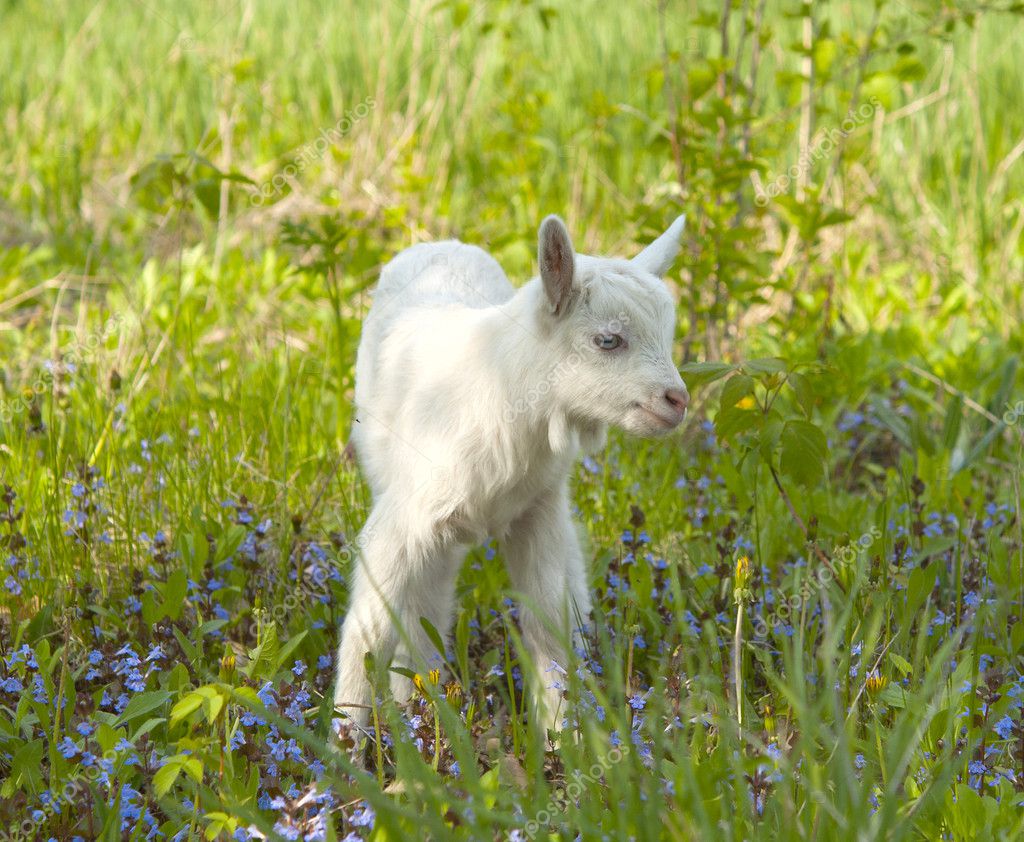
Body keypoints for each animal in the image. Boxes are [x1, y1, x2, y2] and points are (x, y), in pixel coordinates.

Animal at [332, 213, 689, 736]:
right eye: (608, 340)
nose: (677, 401)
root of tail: (444, 243)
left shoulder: (537, 514)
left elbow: (548, 625)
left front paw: (563, 737)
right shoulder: (403, 521)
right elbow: (368, 634)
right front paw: (343, 747)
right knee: (422, 611)